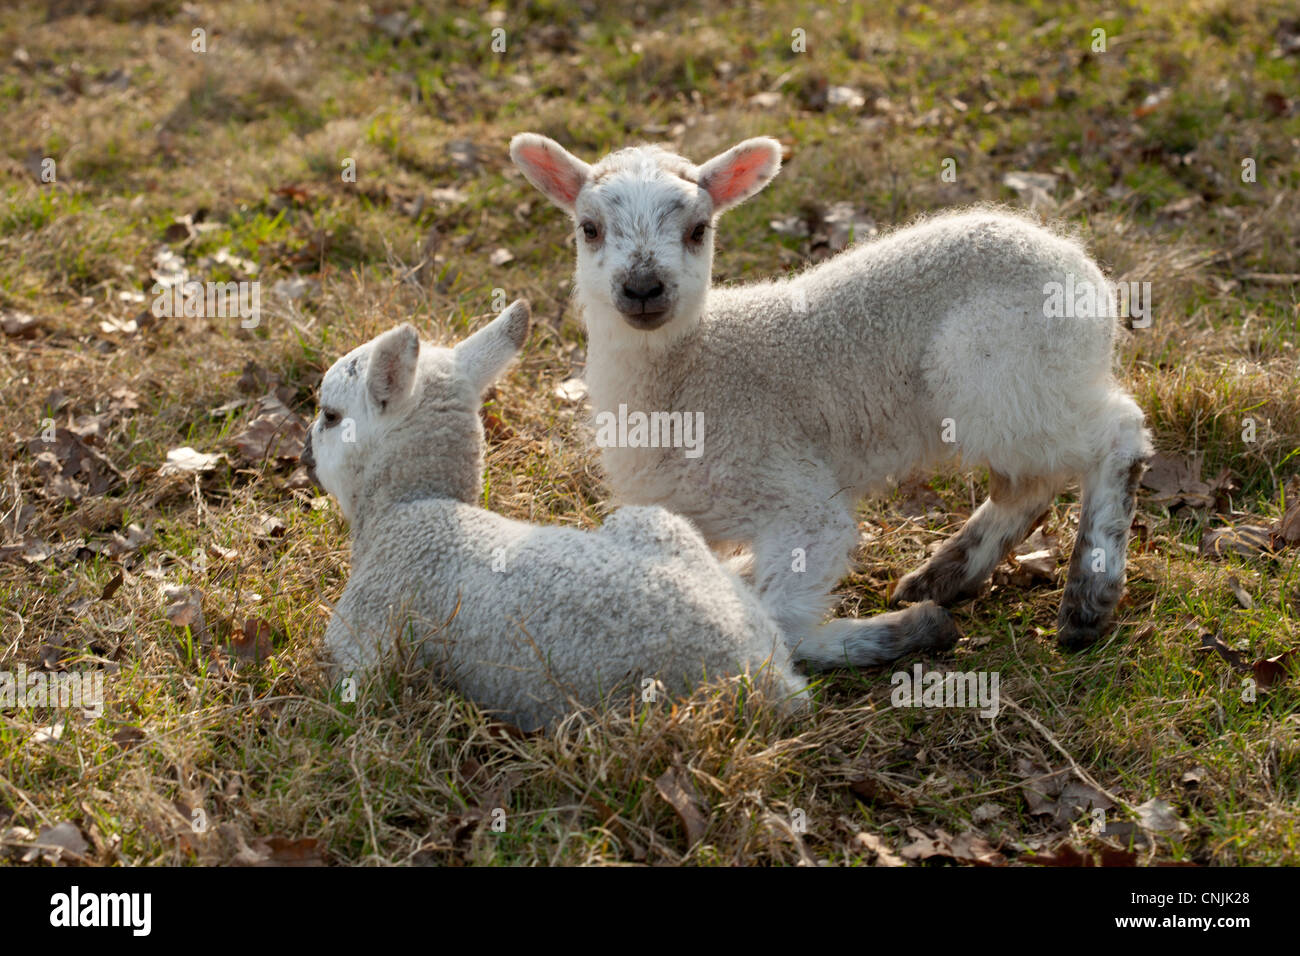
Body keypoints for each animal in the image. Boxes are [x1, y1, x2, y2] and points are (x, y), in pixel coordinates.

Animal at [300, 299, 809, 730]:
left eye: (329, 415)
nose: (303, 454)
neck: (408, 506)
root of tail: (767, 675)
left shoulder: (362, 634)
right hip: (653, 524)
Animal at [509, 133, 1153, 660]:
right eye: (588, 228)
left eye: (698, 230)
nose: (643, 288)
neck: (694, 372)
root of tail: (1081, 266)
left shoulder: (793, 494)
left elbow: (780, 625)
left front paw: (895, 635)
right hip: (1020, 389)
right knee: (1029, 482)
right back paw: (944, 577)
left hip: (1005, 372)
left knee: (1117, 434)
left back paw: (1087, 601)